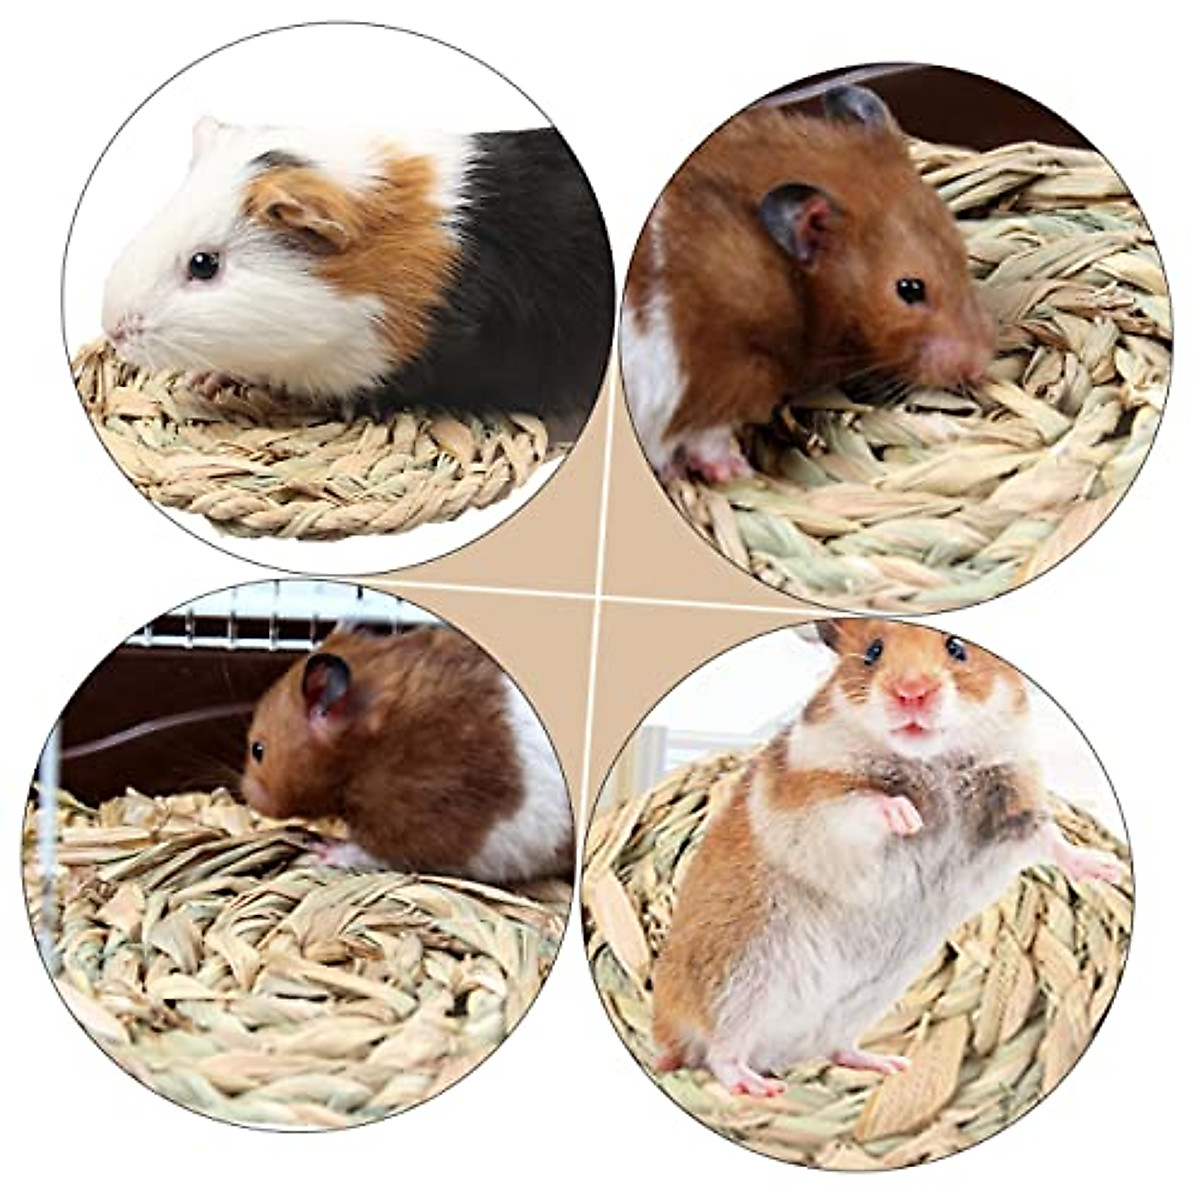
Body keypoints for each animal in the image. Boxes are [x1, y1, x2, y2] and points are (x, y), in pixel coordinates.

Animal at [651, 619, 1122, 1097]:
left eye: (957, 648)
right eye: (873, 652)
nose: (911, 693)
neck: (933, 760)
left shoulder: (1012, 806)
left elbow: (1050, 838)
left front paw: (1109, 868)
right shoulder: (815, 797)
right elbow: (864, 802)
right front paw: (909, 817)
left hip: (857, 1003)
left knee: (836, 1047)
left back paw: (889, 1065)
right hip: (740, 980)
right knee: (719, 1053)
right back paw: (759, 1087)